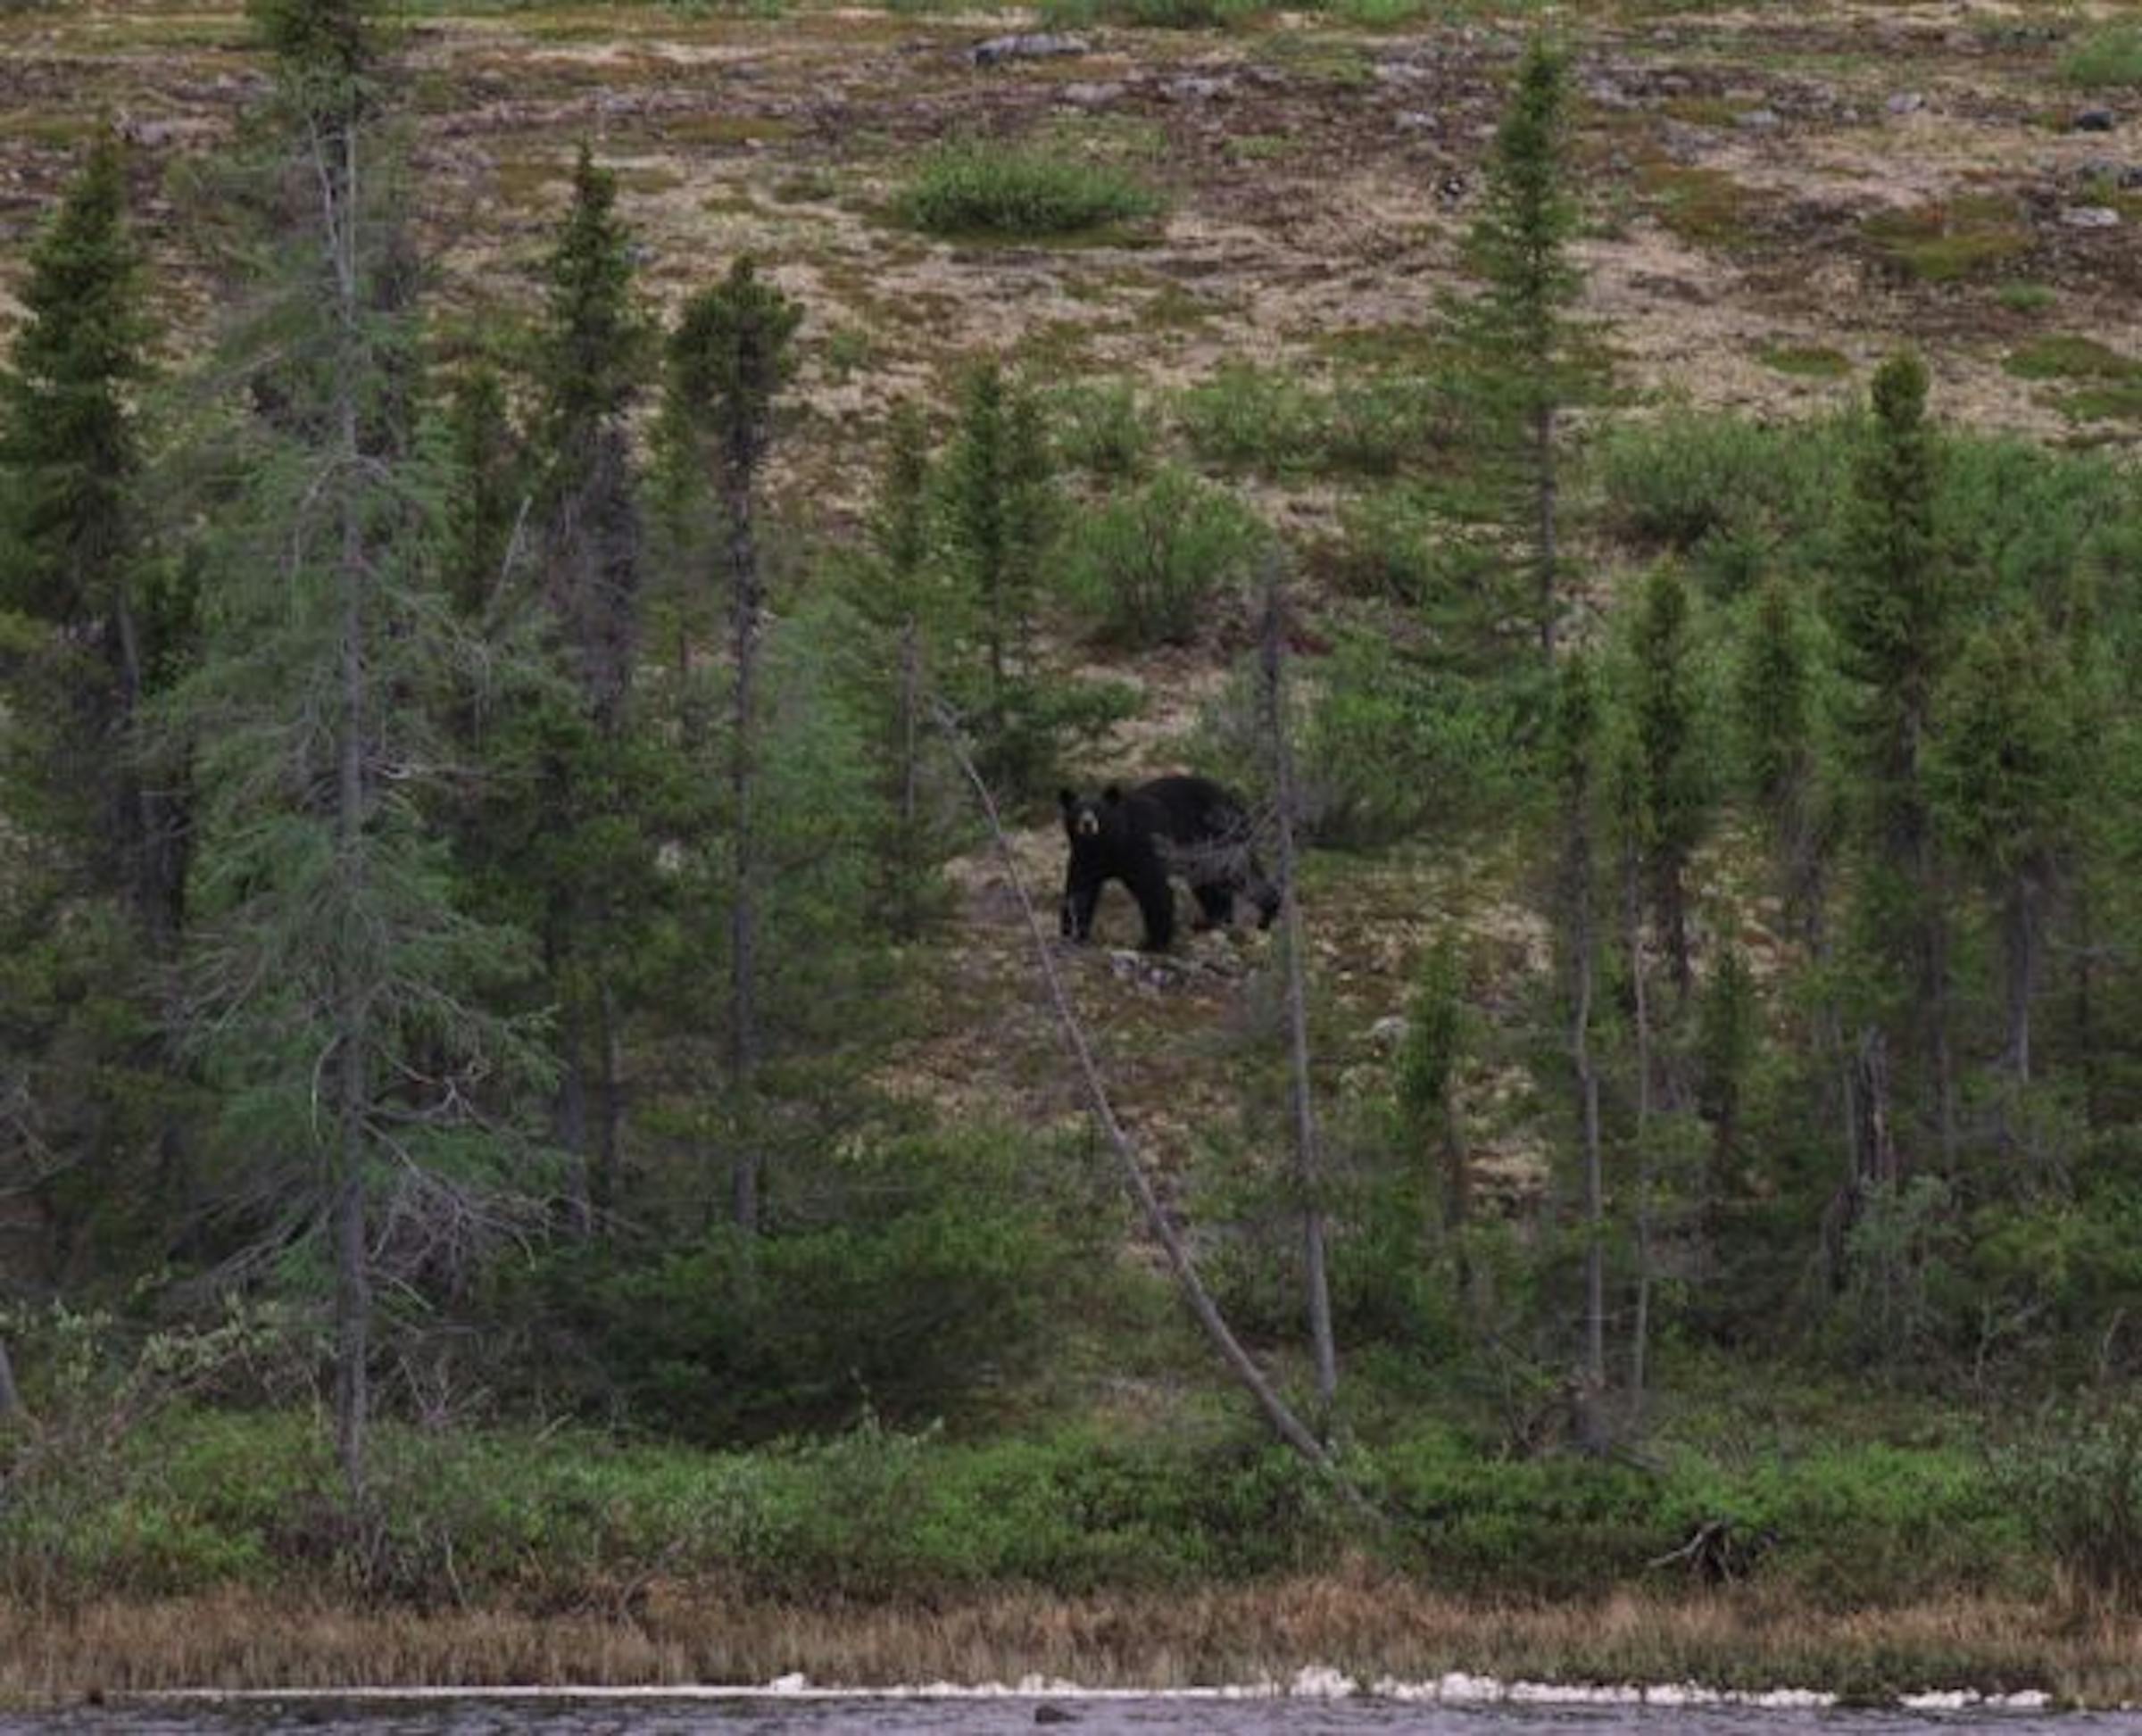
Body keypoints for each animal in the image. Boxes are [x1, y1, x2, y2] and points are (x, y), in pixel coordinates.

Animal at [1058, 774, 1282, 953]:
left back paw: (1268, 913)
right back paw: (1212, 922)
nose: (1087, 824)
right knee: (1209, 885)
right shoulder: (1086, 858)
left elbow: (1154, 890)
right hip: (1201, 855)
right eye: (1077, 811)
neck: (1110, 844)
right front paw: (1072, 933)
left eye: (1099, 810)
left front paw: (1153, 943)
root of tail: (1235, 802)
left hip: (1219, 838)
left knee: (1241, 874)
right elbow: (1079, 891)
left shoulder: (1141, 848)